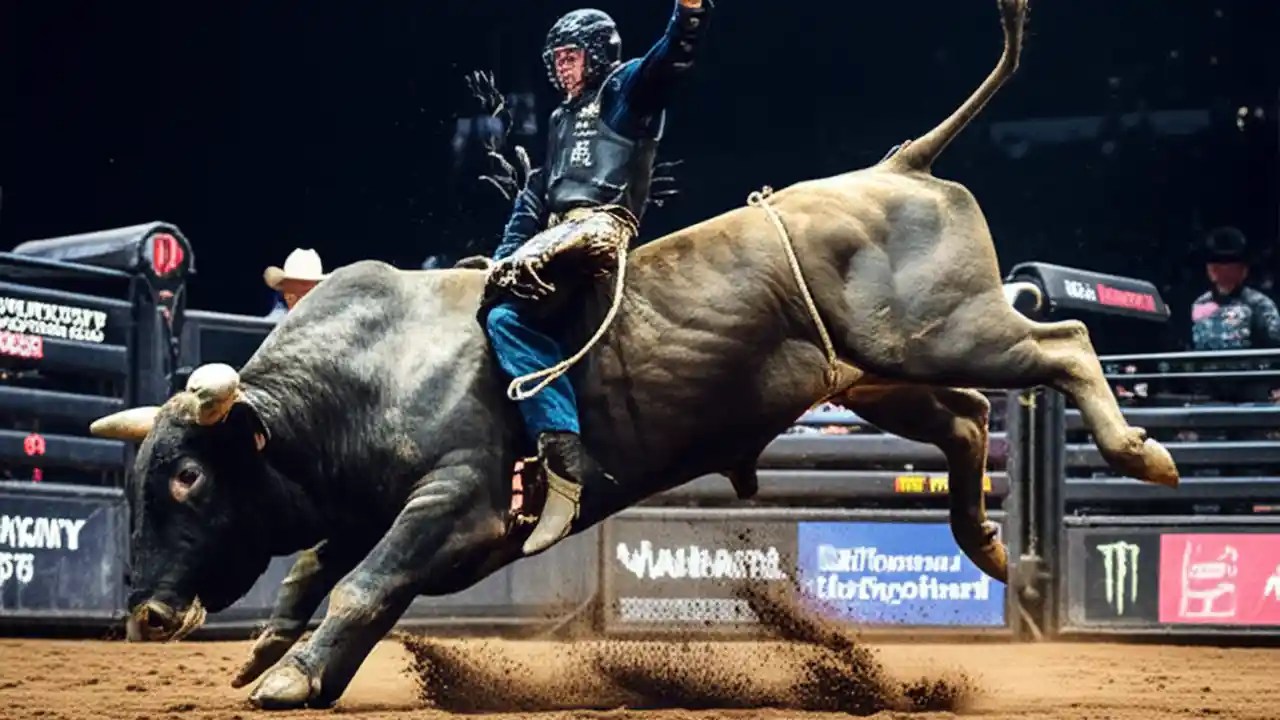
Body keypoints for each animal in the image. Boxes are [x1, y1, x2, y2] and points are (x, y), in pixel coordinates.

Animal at [89, 0, 1178, 710]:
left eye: (187, 478)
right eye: (139, 479)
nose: (143, 616)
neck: (369, 376)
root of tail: (899, 165)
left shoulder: (459, 501)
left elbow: (365, 581)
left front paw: (289, 676)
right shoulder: (359, 506)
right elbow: (312, 568)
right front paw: (267, 650)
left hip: (948, 330)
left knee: (1062, 344)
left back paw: (1141, 456)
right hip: (875, 373)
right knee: (964, 416)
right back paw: (985, 543)